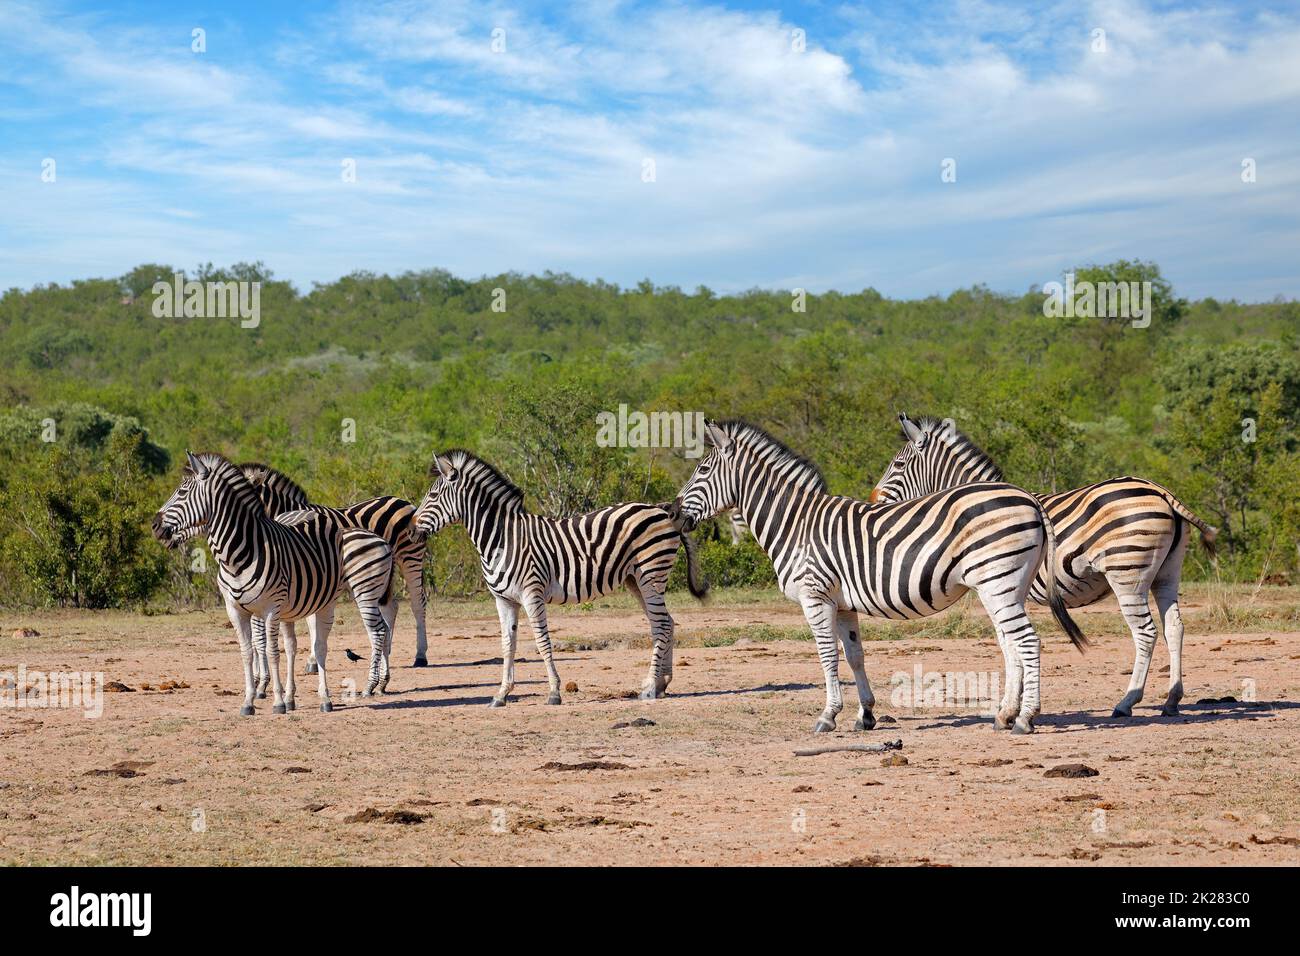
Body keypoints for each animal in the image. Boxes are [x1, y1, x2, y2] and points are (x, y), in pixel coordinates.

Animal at [152, 452, 398, 714]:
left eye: (181, 492)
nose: (154, 525)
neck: (240, 554)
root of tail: (382, 540)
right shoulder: (236, 610)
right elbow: (249, 651)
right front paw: (250, 700)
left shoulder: (269, 608)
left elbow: (270, 649)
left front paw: (275, 698)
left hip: (360, 592)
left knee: (352, 638)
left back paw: (349, 692)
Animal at [239, 463, 431, 670]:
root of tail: (402, 500)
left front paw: (312, 661)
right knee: (391, 606)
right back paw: (385, 655)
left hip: (411, 557)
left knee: (418, 602)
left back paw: (420, 656)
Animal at [408, 450, 708, 706]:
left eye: (432, 495)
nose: (409, 530)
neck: (502, 539)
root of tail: (663, 510)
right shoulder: (503, 600)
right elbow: (507, 644)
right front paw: (501, 694)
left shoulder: (531, 593)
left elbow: (542, 642)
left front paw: (554, 691)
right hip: (636, 580)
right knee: (666, 622)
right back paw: (661, 684)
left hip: (651, 575)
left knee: (661, 625)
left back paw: (649, 688)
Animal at [670, 420, 1087, 734]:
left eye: (702, 470)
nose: (671, 513)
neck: (795, 523)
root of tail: (1027, 497)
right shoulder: (841, 603)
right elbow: (854, 656)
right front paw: (865, 714)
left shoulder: (814, 596)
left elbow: (827, 656)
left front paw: (827, 716)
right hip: (1003, 586)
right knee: (1012, 643)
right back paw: (1004, 715)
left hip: (999, 581)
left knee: (1028, 641)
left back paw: (1025, 719)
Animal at [872, 413, 1218, 718]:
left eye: (898, 465)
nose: (873, 501)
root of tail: (1161, 491)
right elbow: (1011, 641)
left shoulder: (994, 586)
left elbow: (1007, 641)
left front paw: (1011, 707)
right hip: (1167, 574)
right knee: (1174, 628)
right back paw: (1171, 700)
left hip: (1127, 575)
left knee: (1146, 633)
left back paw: (1126, 702)